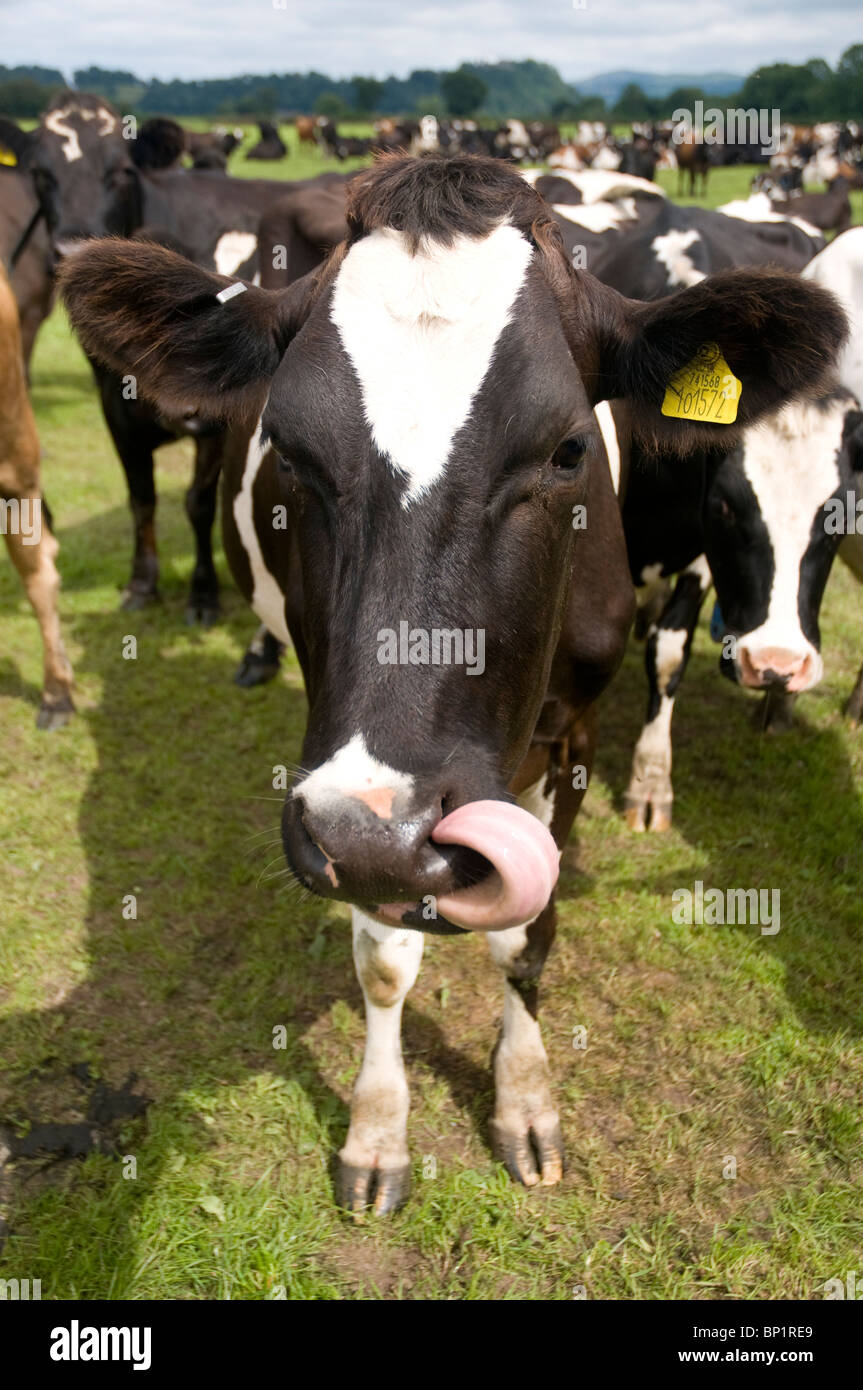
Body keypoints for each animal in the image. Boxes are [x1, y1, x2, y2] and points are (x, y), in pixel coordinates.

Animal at [60, 154, 846, 1213]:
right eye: (289, 452)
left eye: (568, 450)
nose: (387, 837)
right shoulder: (345, 795)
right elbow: (385, 961)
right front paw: (377, 1134)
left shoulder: (572, 730)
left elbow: (526, 940)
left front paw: (525, 1103)